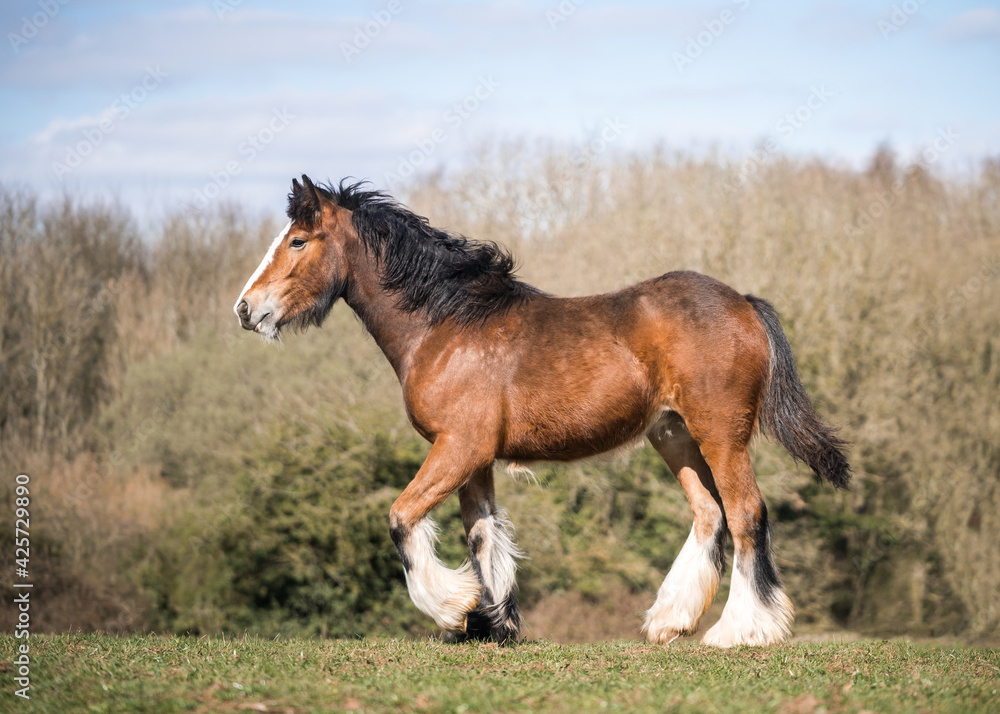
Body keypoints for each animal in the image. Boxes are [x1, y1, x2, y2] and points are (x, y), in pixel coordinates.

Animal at [234, 175, 851, 647]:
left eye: (298, 241)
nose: (245, 309)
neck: (445, 325)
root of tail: (742, 302)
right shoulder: (473, 459)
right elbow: (483, 535)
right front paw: (492, 625)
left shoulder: (458, 448)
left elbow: (402, 518)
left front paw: (455, 609)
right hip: (673, 435)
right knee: (710, 513)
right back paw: (669, 621)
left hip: (721, 434)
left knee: (746, 514)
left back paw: (740, 630)